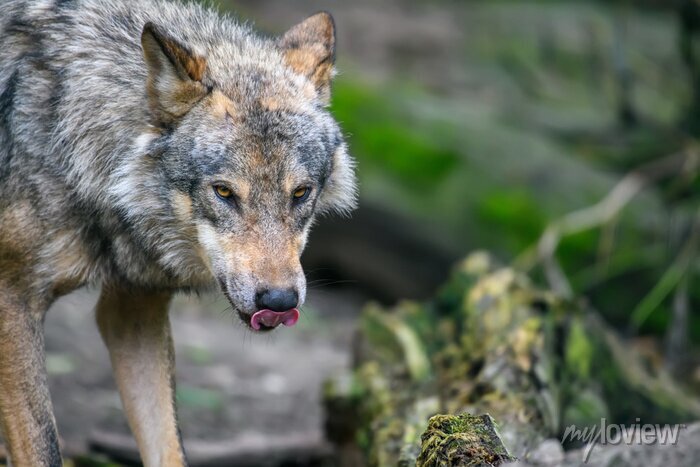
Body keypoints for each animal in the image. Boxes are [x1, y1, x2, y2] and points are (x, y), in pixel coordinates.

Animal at [0, 0, 357, 464]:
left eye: (300, 193)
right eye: (223, 192)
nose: (279, 301)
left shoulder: (134, 310)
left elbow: (168, 447)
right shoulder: (13, 301)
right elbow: (43, 447)